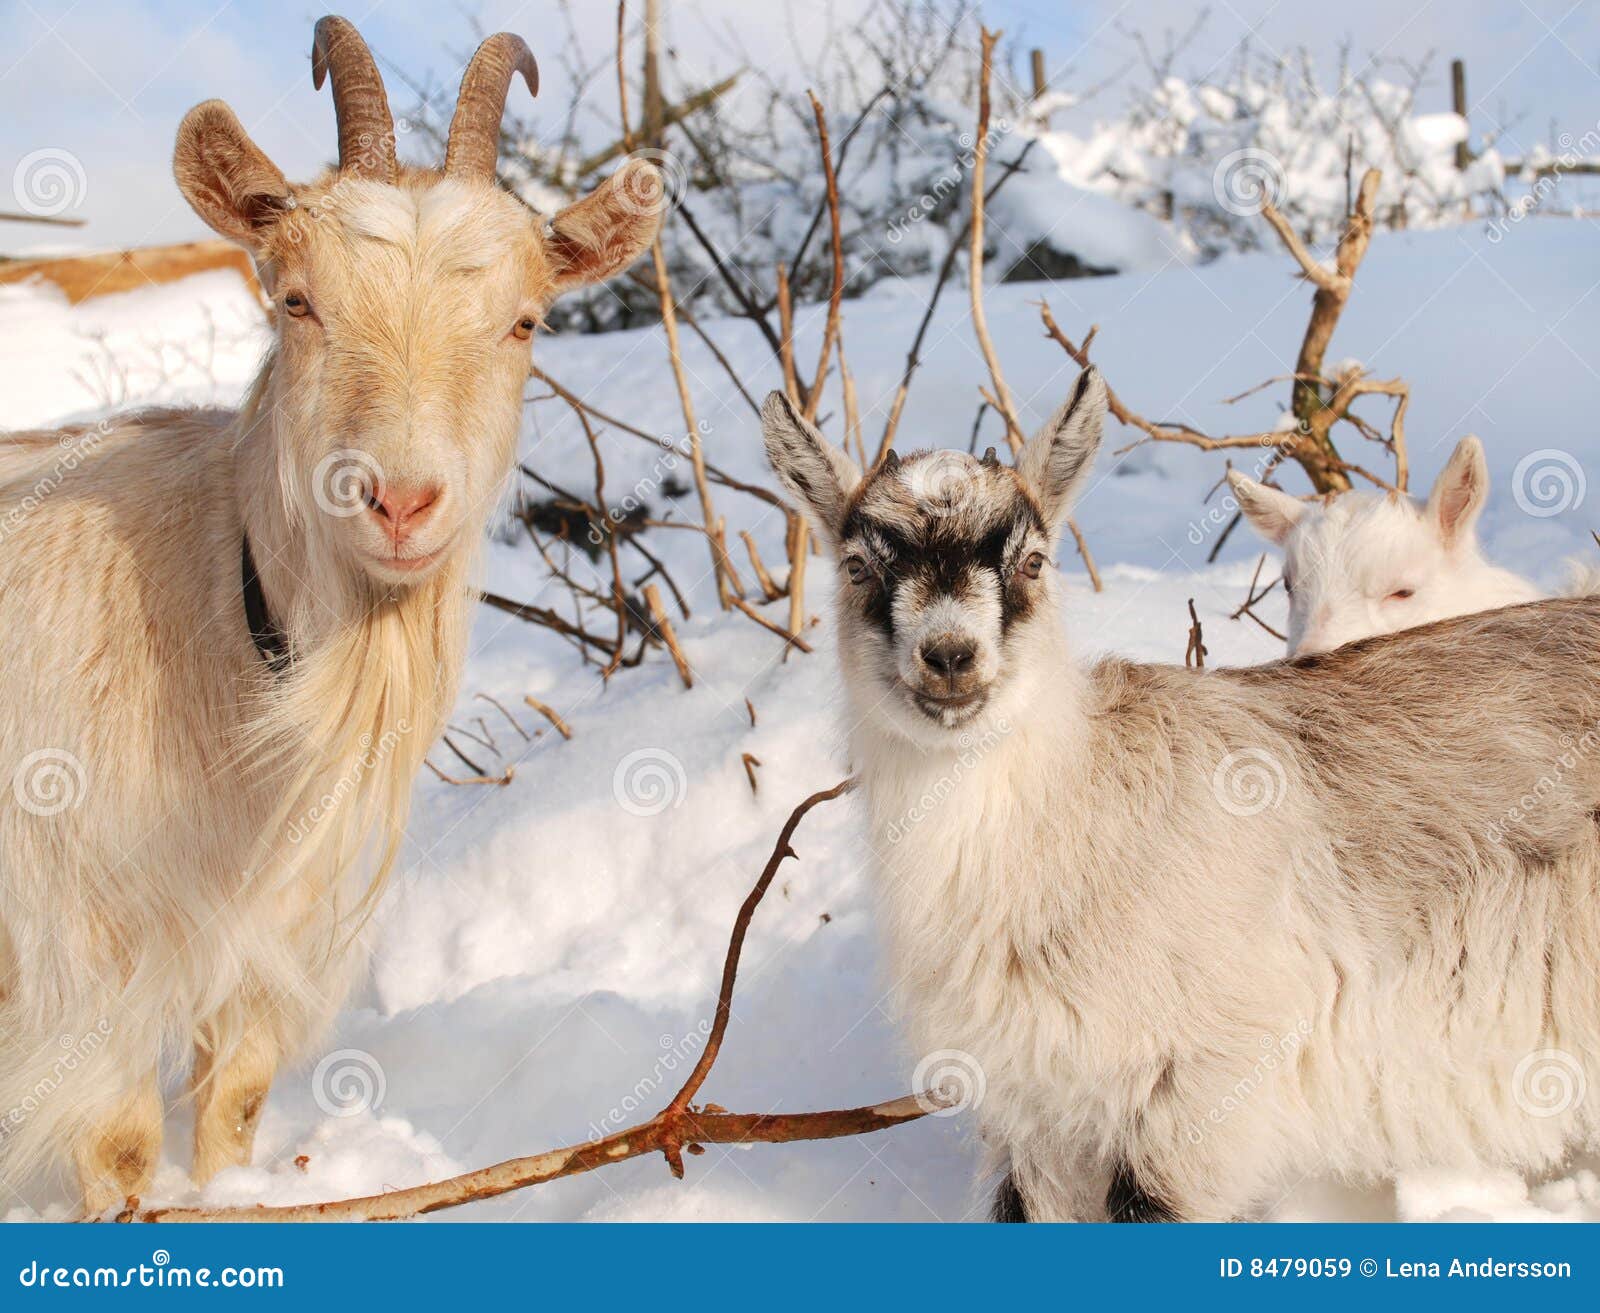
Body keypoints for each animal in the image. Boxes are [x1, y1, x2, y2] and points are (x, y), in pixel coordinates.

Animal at [0, 16, 658, 1213]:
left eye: (524, 320)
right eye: (297, 300)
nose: (397, 499)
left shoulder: (268, 924)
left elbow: (234, 1100)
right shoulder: (80, 944)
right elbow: (120, 1145)